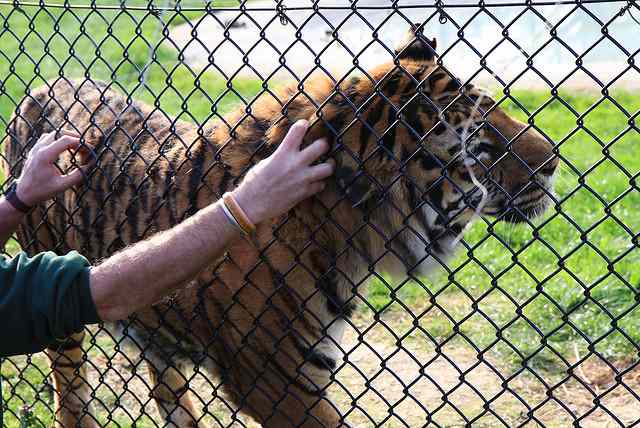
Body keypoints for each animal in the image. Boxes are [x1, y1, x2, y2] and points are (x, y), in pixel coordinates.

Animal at [3, 27, 558, 428]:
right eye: (481, 144)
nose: (555, 162)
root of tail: (43, 85)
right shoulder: (278, 380)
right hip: (64, 329)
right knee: (70, 395)